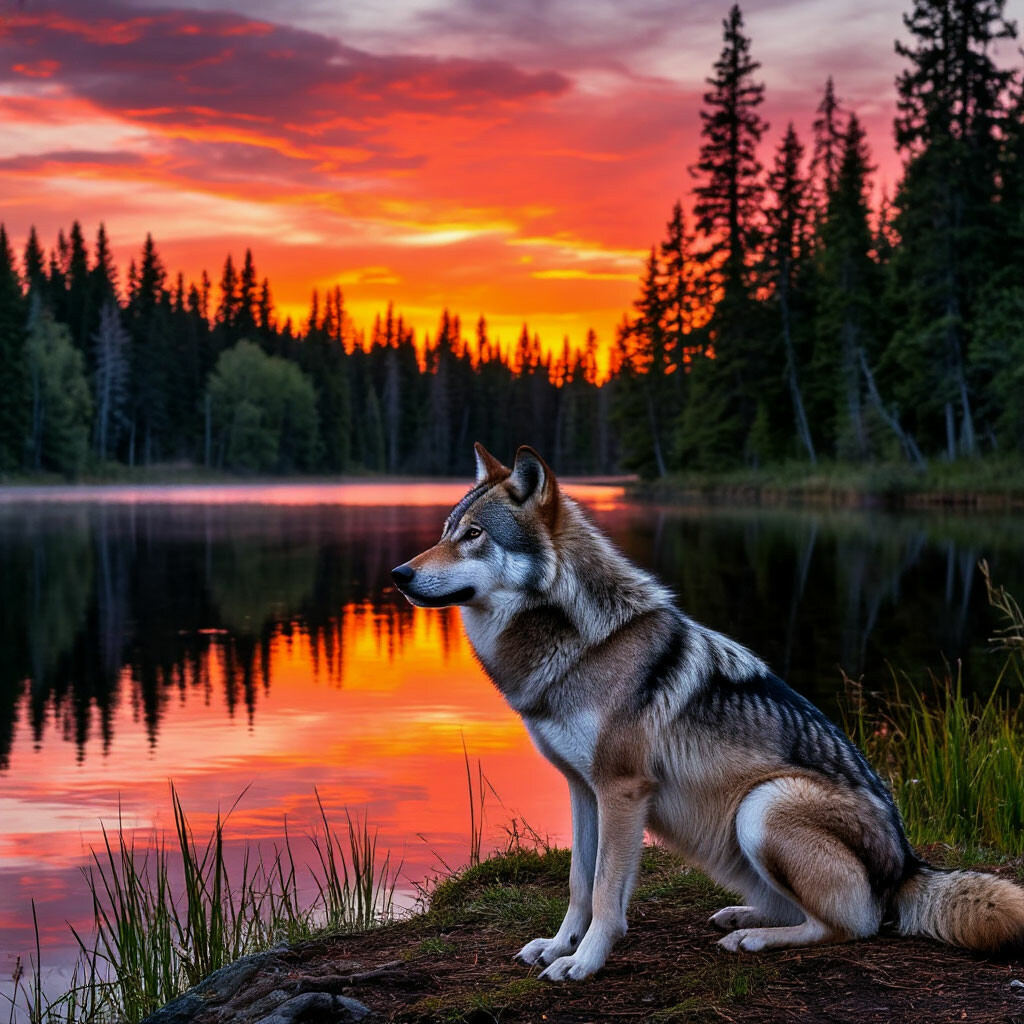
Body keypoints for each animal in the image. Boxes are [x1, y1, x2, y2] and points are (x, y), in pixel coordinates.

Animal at [391, 443, 1024, 981]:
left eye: (473, 535)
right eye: (445, 531)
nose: (399, 574)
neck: (586, 641)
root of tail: (909, 865)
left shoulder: (623, 790)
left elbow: (606, 892)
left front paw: (585, 961)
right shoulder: (582, 789)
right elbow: (579, 883)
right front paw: (557, 945)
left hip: (763, 805)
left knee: (854, 925)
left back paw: (755, 939)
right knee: (802, 909)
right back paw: (743, 917)